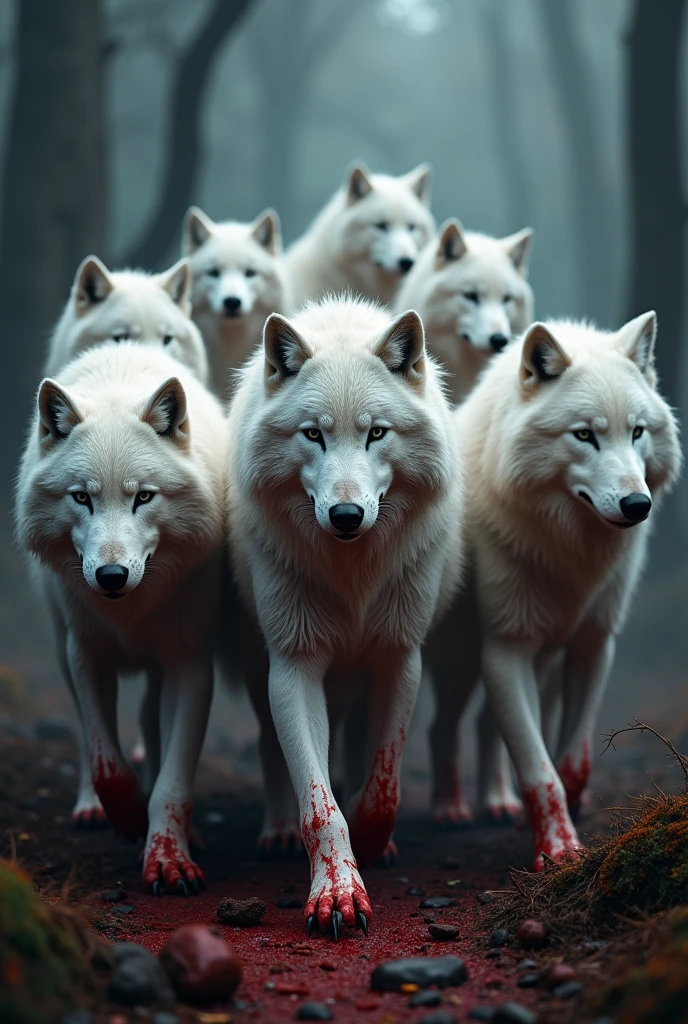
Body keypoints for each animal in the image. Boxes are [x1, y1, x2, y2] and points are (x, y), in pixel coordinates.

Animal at [16, 343, 226, 893]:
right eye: (82, 497)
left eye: (143, 496)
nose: (111, 576)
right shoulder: (86, 653)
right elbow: (106, 762)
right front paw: (128, 815)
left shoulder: (190, 663)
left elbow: (174, 779)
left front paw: (168, 855)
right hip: (62, 645)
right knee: (87, 734)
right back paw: (93, 808)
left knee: (150, 721)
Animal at [226, 296, 464, 936]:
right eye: (314, 435)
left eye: (376, 433)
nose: (347, 514)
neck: (352, 573)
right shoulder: (295, 665)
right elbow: (320, 805)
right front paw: (336, 893)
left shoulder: (399, 659)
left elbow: (382, 790)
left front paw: (374, 839)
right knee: (268, 750)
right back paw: (278, 831)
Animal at [428, 313, 681, 869]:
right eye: (584, 435)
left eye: (637, 432)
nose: (638, 505)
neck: (573, 552)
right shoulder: (506, 649)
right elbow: (540, 770)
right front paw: (559, 850)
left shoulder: (593, 645)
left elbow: (572, 761)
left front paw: (561, 821)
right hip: (461, 658)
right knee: (444, 728)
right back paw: (451, 808)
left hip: (541, 663)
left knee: (487, 725)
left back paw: (499, 803)